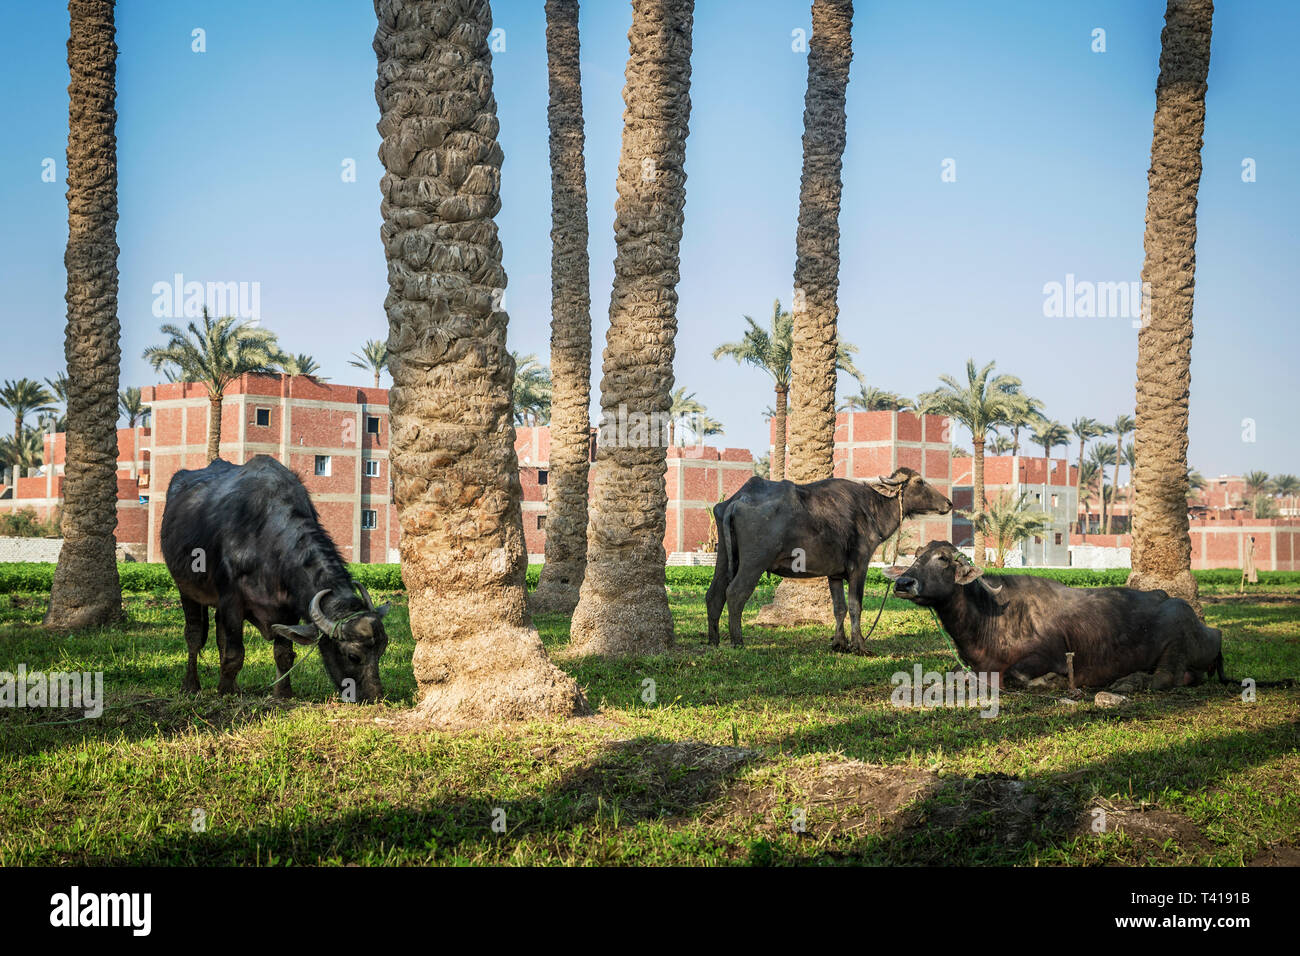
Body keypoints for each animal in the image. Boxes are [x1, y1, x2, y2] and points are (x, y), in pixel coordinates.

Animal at [161, 456, 390, 701]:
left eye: (382, 649)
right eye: (353, 656)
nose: (374, 696)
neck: (264, 539)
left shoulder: (288, 608)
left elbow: (283, 653)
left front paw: (282, 693)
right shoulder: (231, 601)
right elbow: (235, 652)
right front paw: (226, 692)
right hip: (186, 589)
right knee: (194, 636)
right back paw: (191, 685)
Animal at [707, 467, 953, 651]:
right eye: (920, 481)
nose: (949, 503)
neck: (871, 508)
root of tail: (739, 499)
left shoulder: (833, 574)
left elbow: (839, 608)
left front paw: (839, 643)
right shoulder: (859, 566)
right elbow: (854, 606)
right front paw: (859, 645)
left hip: (725, 558)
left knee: (714, 594)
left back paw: (713, 640)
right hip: (754, 562)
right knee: (735, 593)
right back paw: (738, 642)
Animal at [883, 540, 1225, 690]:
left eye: (942, 558)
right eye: (916, 556)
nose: (903, 583)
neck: (990, 619)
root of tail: (1209, 628)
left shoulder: (1050, 655)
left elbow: (1018, 674)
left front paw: (1051, 681)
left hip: (1176, 635)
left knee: (1166, 677)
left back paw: (1128, 682)